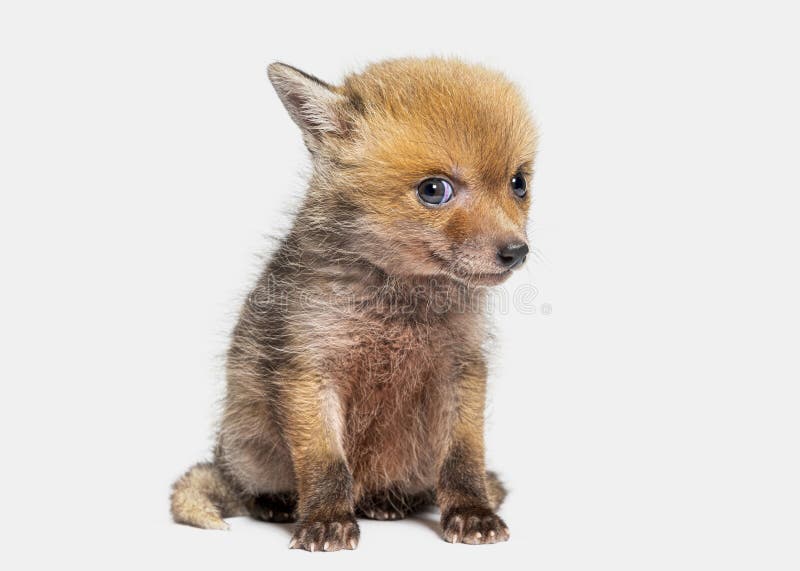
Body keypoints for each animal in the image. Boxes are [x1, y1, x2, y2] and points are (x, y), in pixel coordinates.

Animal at [170, 57, 538, 552]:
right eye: (434, 190)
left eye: (518, 183)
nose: (516, 252)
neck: (398, 308)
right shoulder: (309, 370)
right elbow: (325, 463)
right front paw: (326, 520)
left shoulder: (462, 367)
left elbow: (464, 459)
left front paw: (471, 512)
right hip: (249, 450)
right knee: (249, 489)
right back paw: (279, 503)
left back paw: (388, 501)